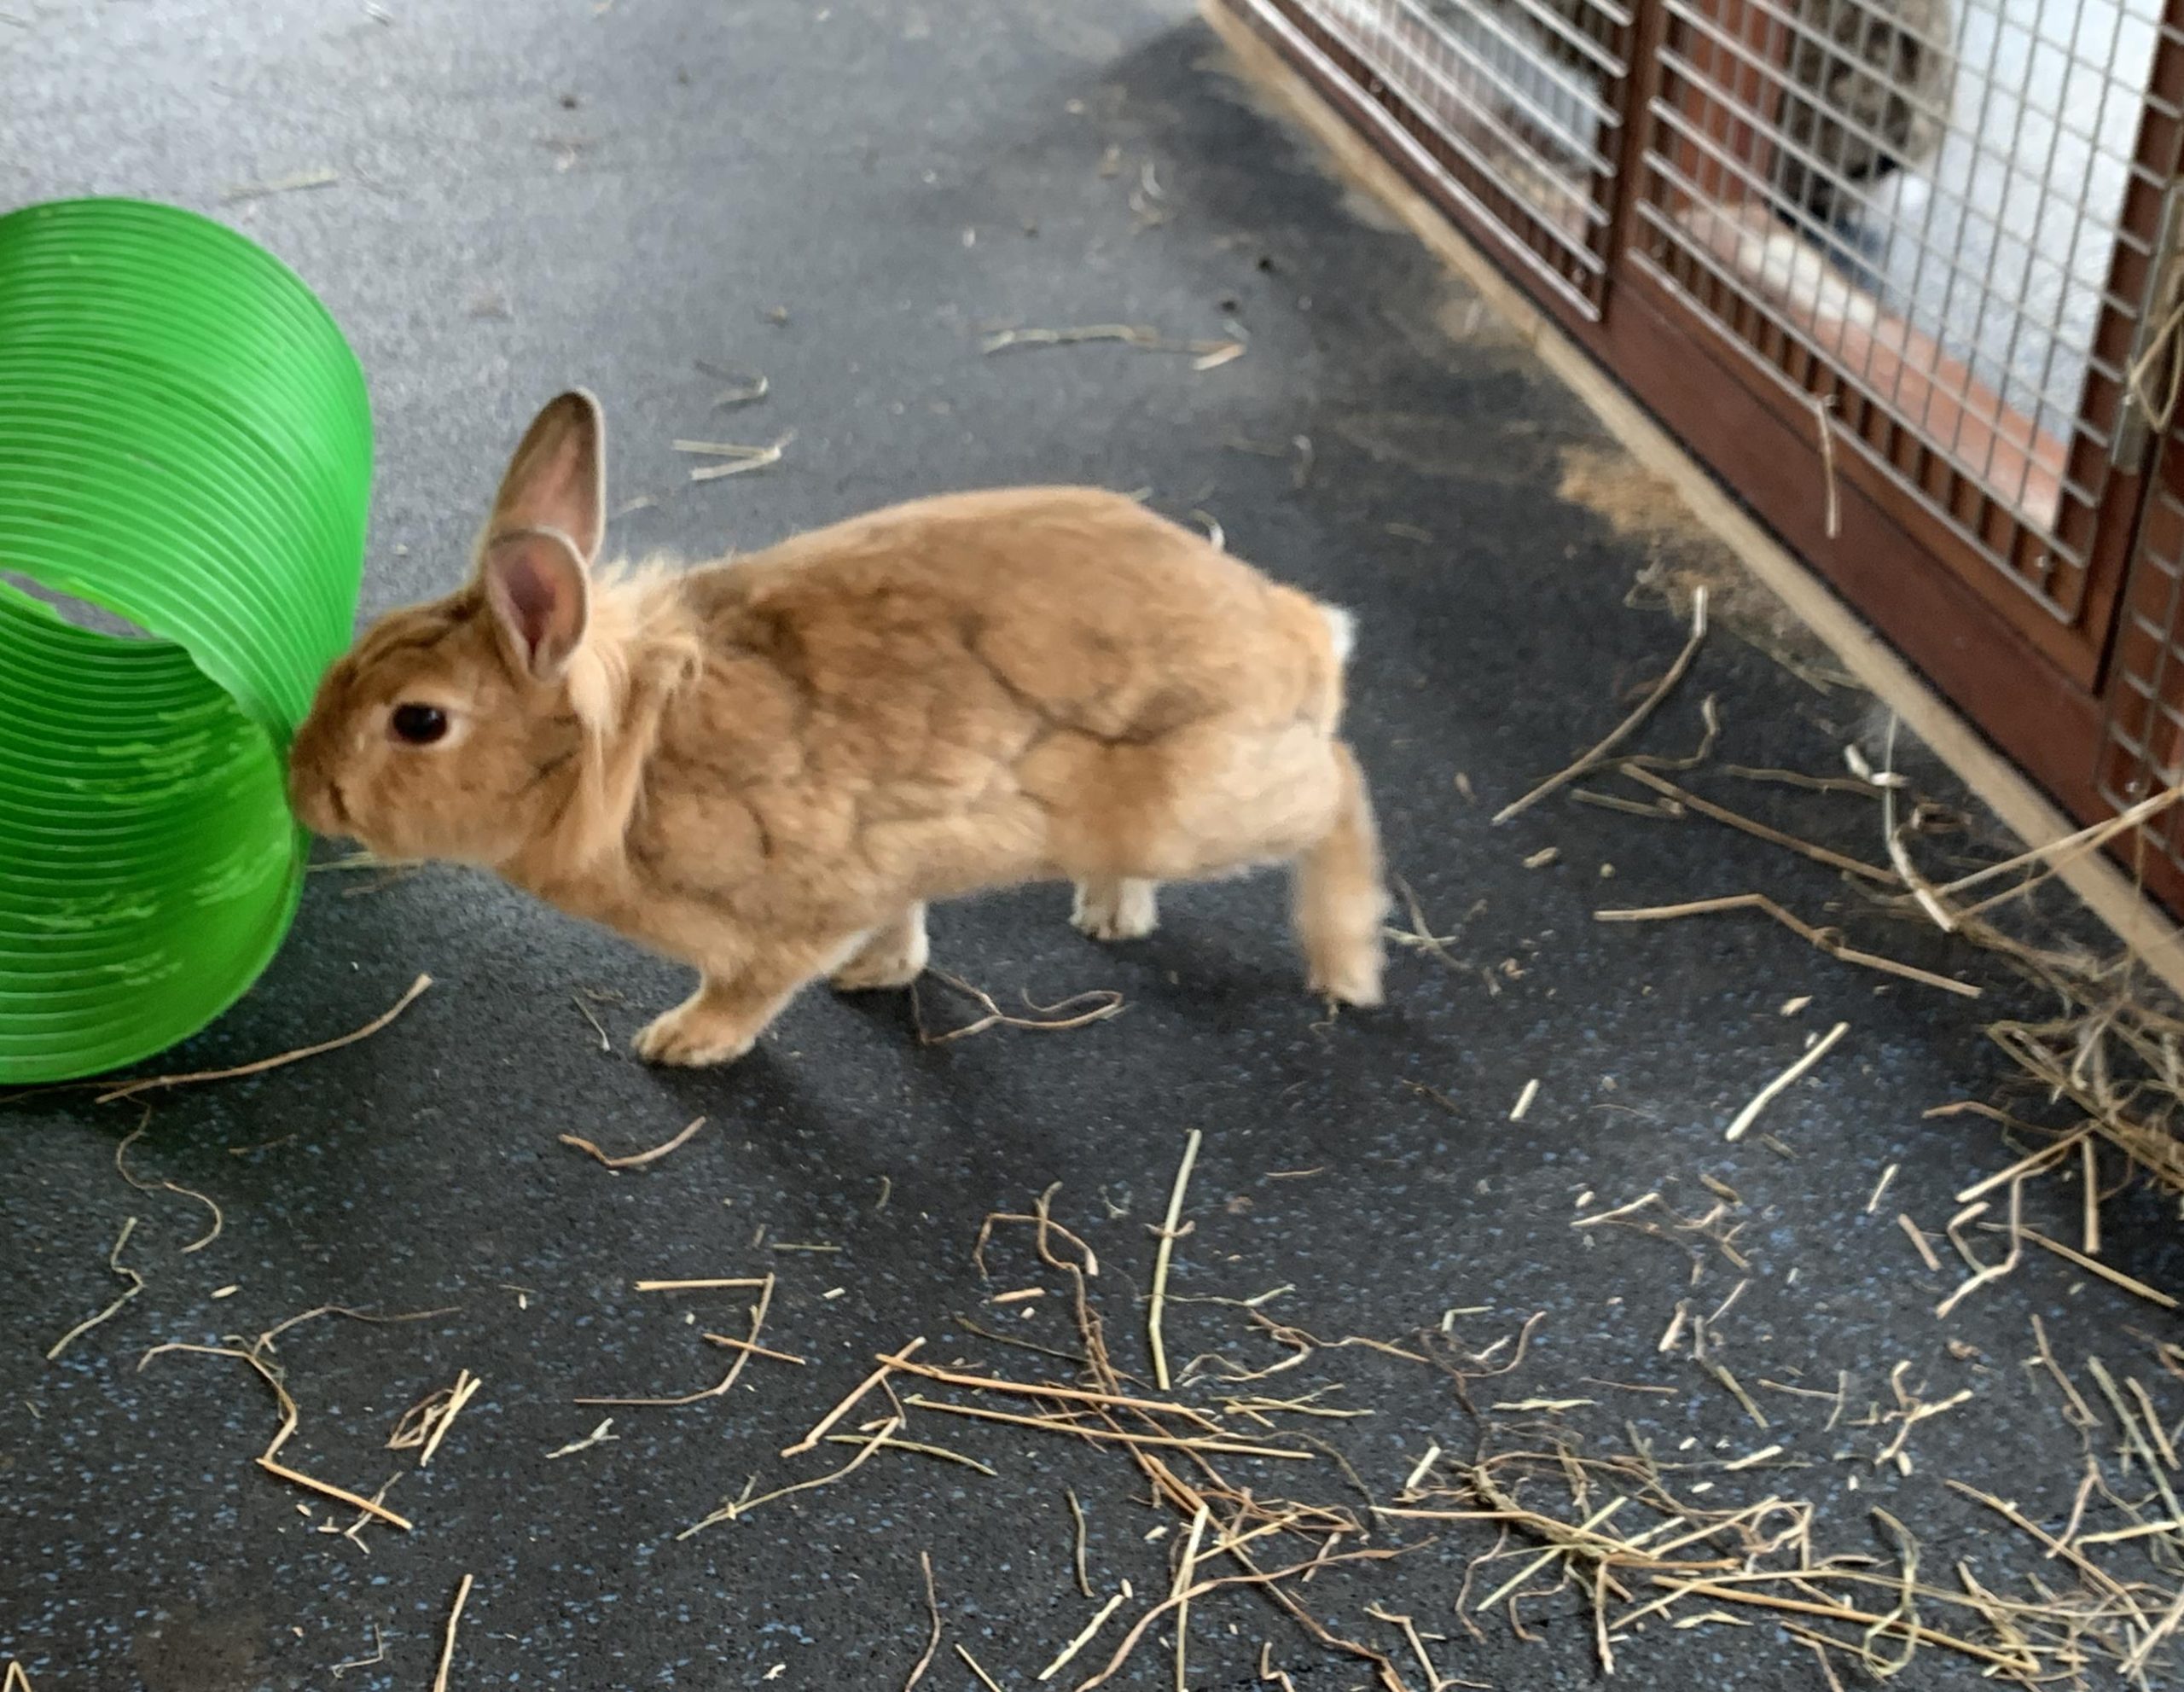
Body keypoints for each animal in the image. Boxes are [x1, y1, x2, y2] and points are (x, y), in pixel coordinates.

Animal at [288, 390, 1389, 1067]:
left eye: (420, 721)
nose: (303, 791)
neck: (612, 758)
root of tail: (1297, 637)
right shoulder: (893, 860)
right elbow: (901, 924)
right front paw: (880, 973)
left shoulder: (796, 906)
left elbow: (752, 984)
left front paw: (681, 1042)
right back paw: (1112, 911)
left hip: (1206, 800)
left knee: (1340, 787)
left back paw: (1347, 966)